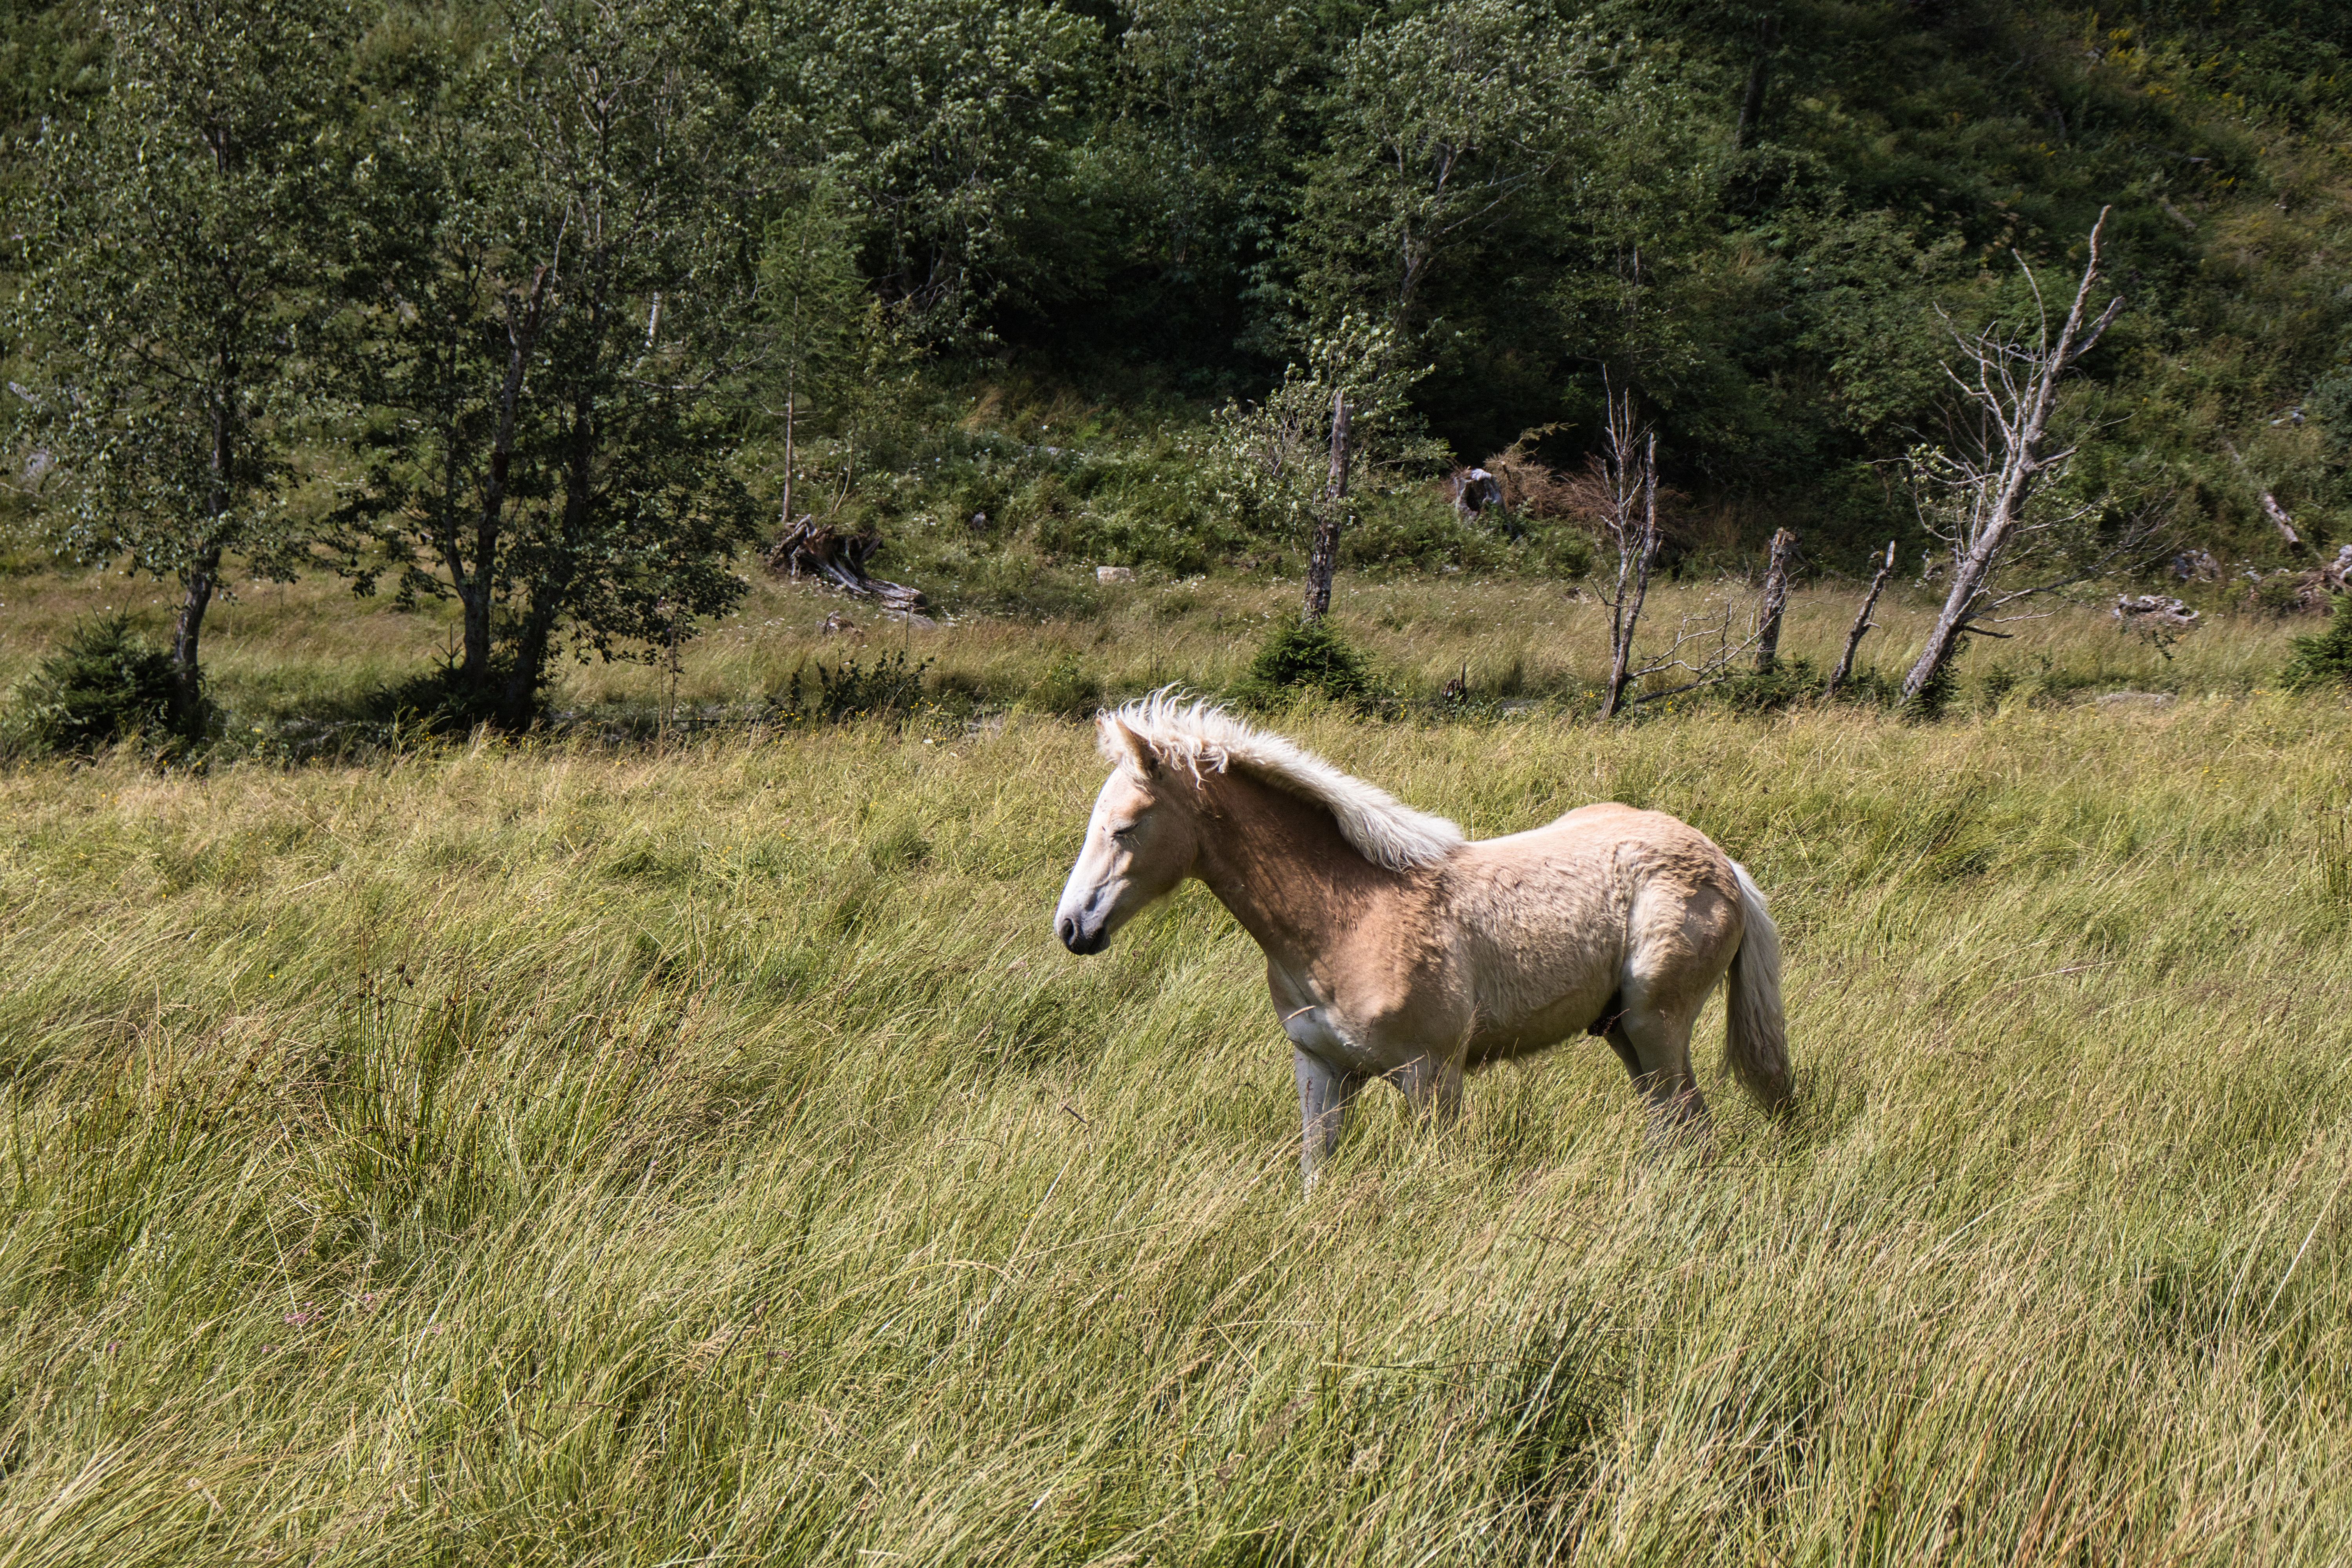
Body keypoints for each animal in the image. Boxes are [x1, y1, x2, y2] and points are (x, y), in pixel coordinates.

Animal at [1052, 695, 1792, 1186]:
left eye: (1124, 828)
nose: (1072, 928)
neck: (1347, 919)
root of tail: (1722, 863)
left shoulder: (1432, 1075)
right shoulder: (1321, 1070)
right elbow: (1315, 1173)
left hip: (1654, 1024)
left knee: (1691, 1124)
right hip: (1620, 1031)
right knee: (1670, 1124)